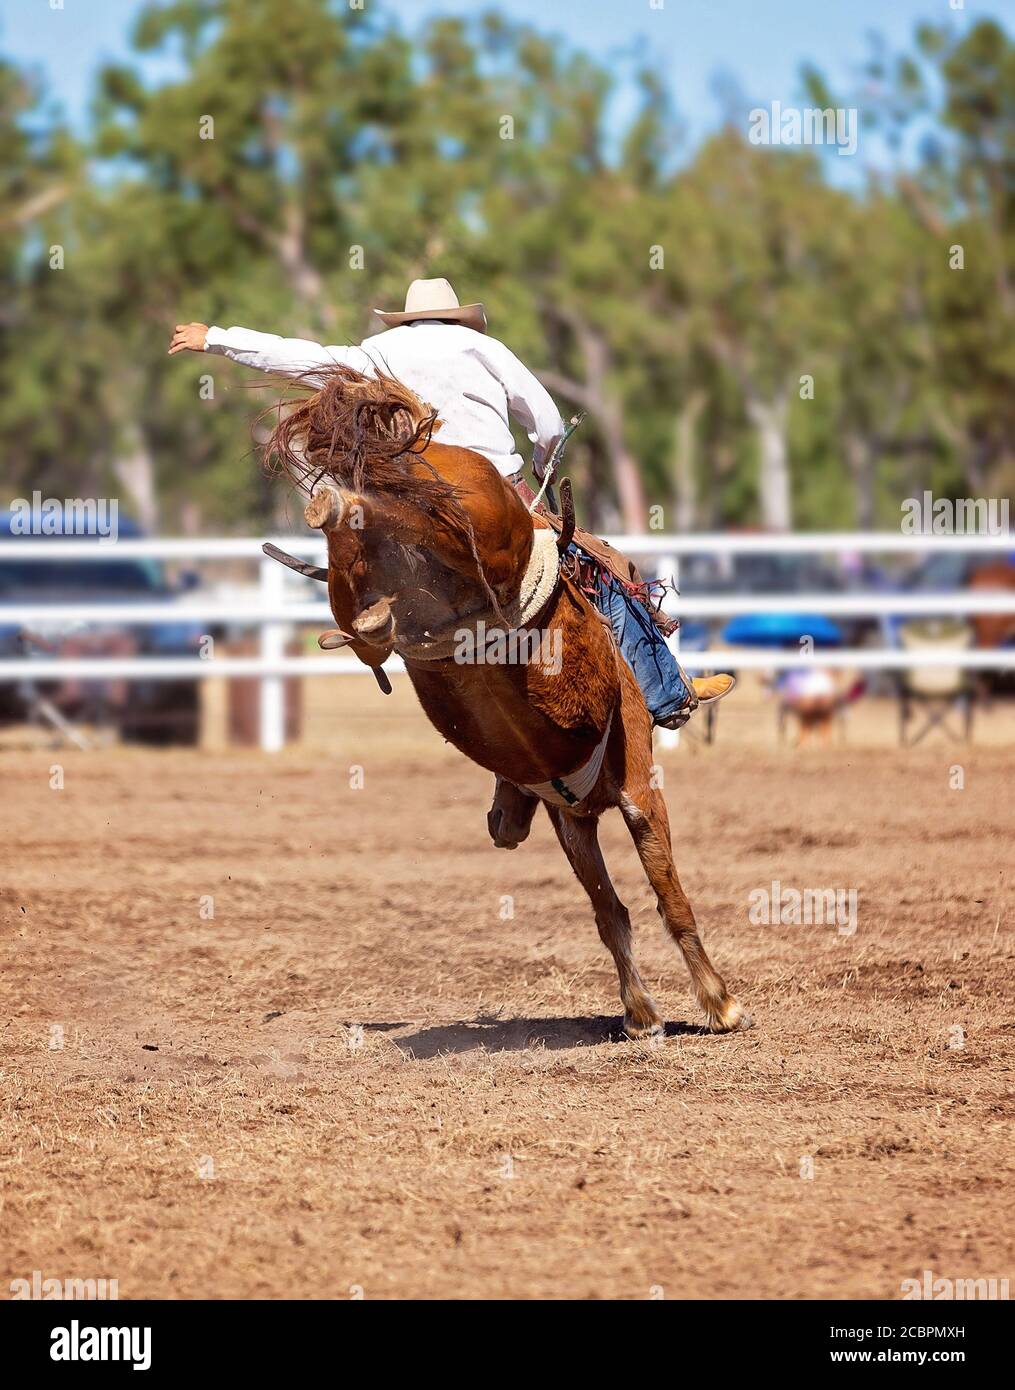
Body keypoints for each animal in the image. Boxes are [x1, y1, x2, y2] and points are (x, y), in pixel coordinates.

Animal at [267, 365, 751, 1038]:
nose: (500, 823)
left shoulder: (571, 819)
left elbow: (611, 912)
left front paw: (640, 1011)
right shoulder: (638, 792)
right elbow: (666, 899)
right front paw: (717, 1002)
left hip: (365, 569)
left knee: (377, 539)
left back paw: (353, 550)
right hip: (477, 535)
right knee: (420, 525)